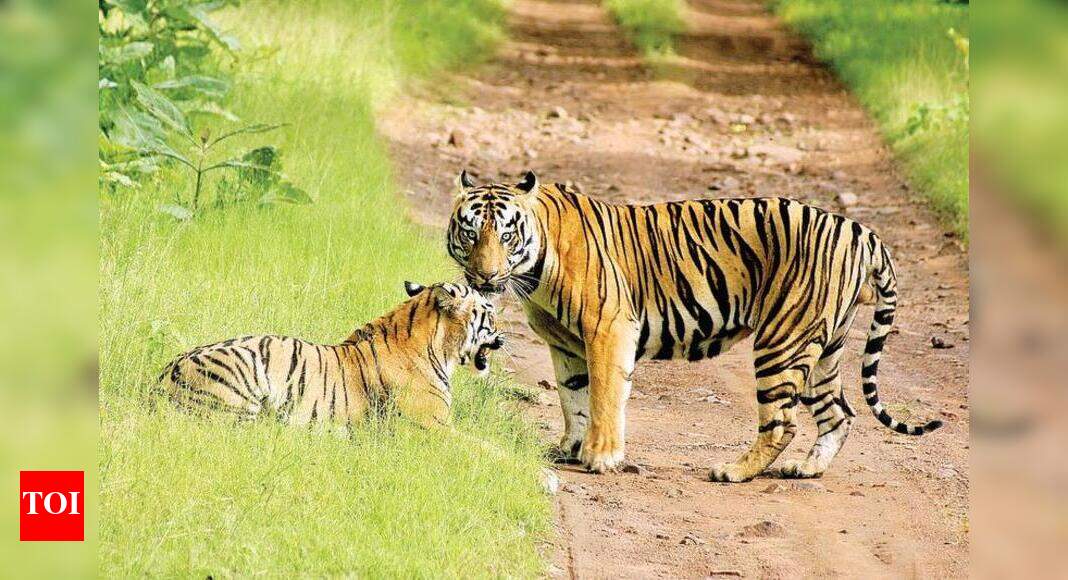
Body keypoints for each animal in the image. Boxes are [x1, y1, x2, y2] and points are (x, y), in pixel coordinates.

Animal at [446, 170, 942, 482]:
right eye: (470, 233)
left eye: (506, 234)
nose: (485, 277)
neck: (532, 271)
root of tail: (861, 230)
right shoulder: (565, 343)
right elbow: (574, 398)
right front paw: (570, 446)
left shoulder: (608, 328)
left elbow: (604, 395)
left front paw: (601, 457)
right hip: (826, 345)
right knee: (840, 413)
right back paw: (806, 469)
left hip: (782, 341)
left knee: (781, 423)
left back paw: (733, 472)